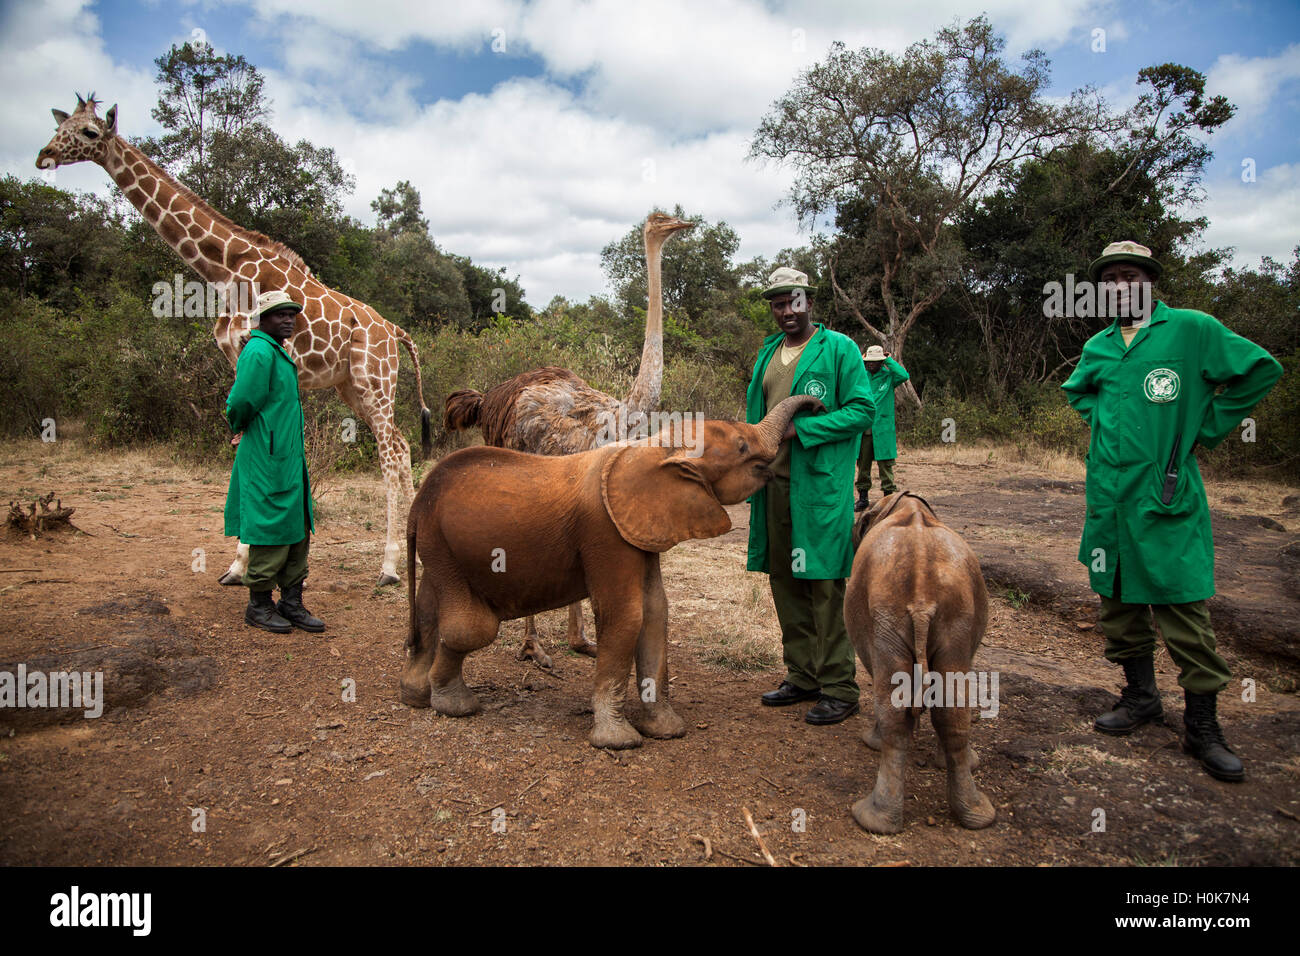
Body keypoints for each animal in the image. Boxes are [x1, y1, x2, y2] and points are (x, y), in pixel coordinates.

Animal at [401, 394, 825, 749]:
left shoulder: (640, 529)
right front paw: (619, 742)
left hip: (438, 545)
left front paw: (667, 730)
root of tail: (417, 503)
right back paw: (454, 705)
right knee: (470, 627)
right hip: (442, 542)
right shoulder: (604, 531)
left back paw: (416, 696)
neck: (657, 446)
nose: (818, 406)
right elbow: (627, 615)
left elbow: (655, 614)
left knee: (428, 607)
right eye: (741, 447)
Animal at [844, 491, 996, 833]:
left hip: (893, 615)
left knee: (897, 706)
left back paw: (871, 817)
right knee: (952, 708)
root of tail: (922, 596)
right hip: (950, 617)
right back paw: (977, 814)